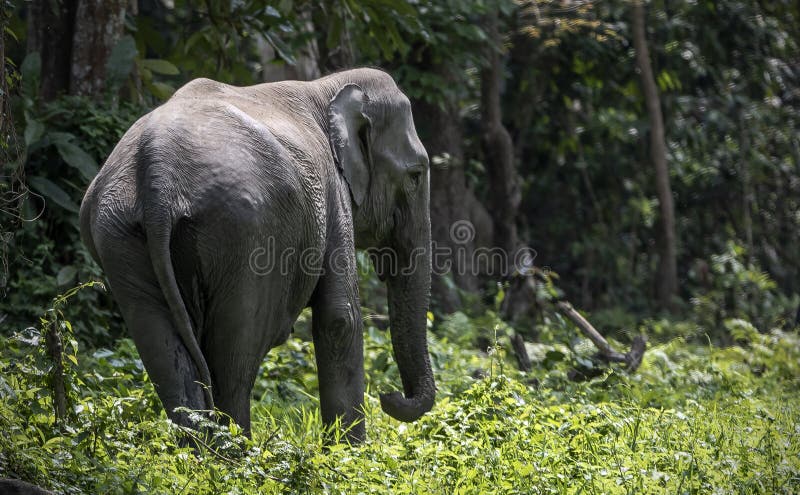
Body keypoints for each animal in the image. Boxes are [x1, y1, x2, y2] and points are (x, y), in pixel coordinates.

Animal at [79, 68, 435, 442]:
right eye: (416, 175)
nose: (388, 395)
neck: (326, 87)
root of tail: (157, 172)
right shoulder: (332, 192)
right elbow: (341, 318)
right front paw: (348, 453)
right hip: (246, 235)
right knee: (235, 359)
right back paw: (237, 450)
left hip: (116, 233)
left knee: (161, 348)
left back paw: (198, 450)